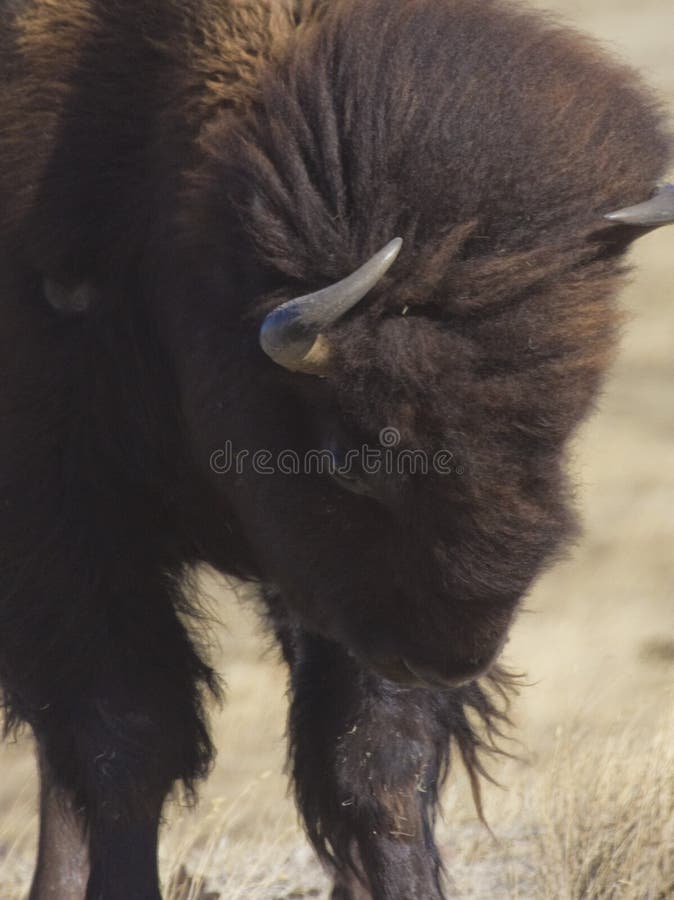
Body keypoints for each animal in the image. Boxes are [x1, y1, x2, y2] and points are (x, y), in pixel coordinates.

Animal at [0, 0, 672, 898]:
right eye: (357, 456)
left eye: (561, 424)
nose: (451, 657)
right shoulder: (64, 525)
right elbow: (126, 734)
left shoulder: (342, 595)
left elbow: (377, 758)